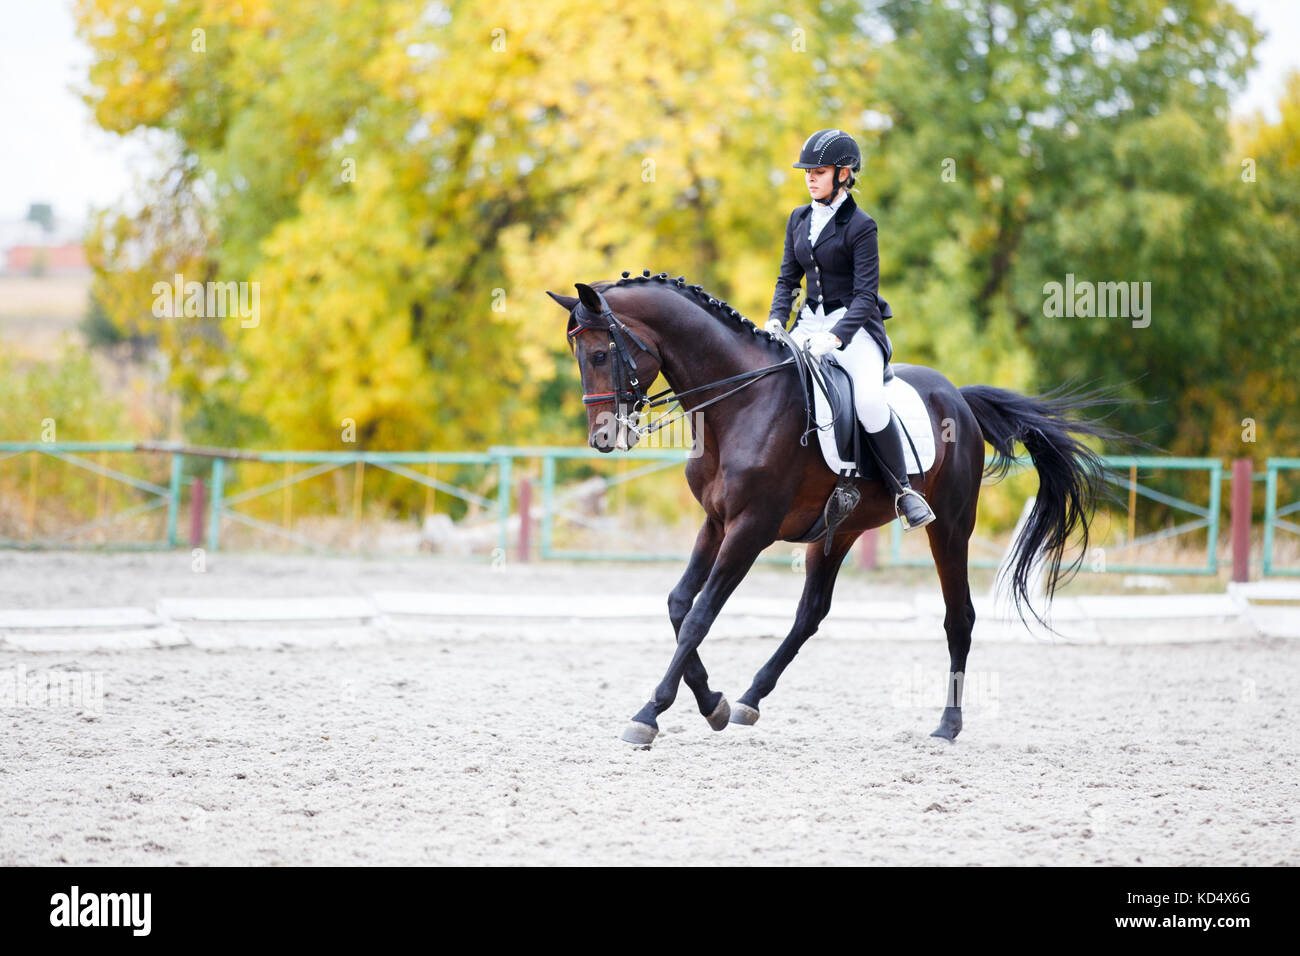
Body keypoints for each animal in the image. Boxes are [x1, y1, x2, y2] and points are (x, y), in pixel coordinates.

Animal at [547, 270, 1128, 747]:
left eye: (599, 355)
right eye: (580, 357)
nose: (602, 439)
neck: (740, 401)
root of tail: (958, 397)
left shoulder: (751, 528)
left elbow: (700, 616)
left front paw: (649, 713)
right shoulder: (716, 522)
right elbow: (678, 604)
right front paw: (712, 704)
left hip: (950, 528)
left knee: (958, 616)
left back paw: (947, 725)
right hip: (841, 530)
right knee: (811, 613)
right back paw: (749, 700)